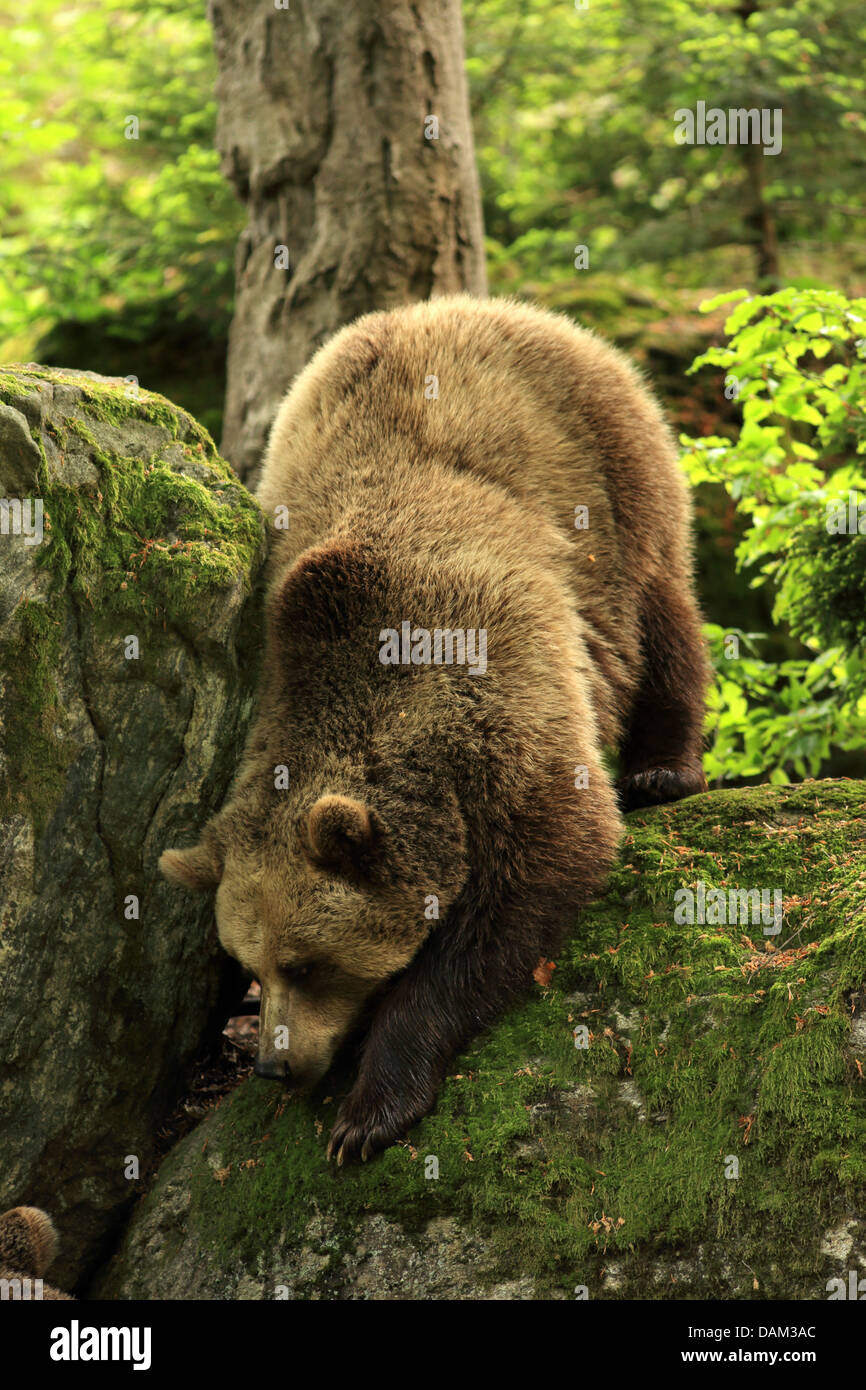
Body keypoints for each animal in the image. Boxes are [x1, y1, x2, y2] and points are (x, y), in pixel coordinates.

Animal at [160, 295, 709, 1163]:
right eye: (249, 962)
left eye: (305, 964)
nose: (274, 1067)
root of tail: (474, 303)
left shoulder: (502, 698)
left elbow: (528, 881)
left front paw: (369, 1109)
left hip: (608, 478)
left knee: (659, 607)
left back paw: (663, 766)